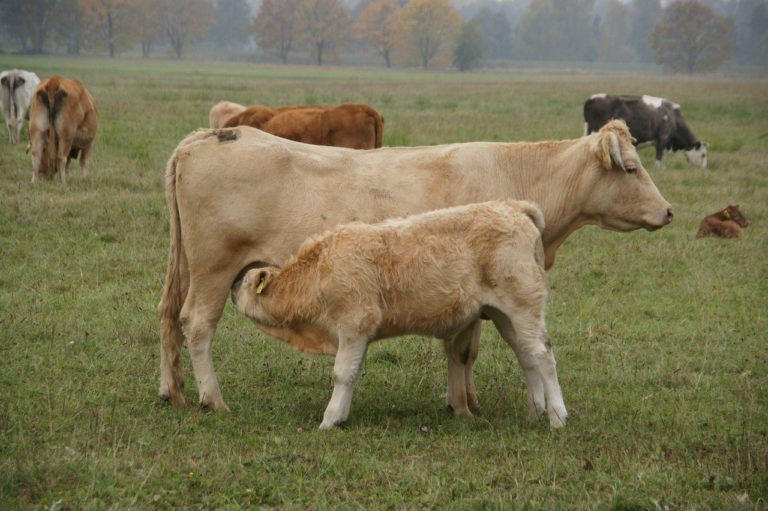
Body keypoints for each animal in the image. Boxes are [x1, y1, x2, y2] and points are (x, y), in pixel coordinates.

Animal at [230, 199, 568, 430]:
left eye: (246, 282)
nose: (232, 289)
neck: (320, 269)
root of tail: (513, 207)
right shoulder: (359, 335)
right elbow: (353, 373)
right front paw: (341, 416)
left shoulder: (354, 324)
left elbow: (342, 373)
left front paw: (328, 420)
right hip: (504, 315)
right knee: (527, 356)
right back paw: (535, 411)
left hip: (524, 306)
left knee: (543, 355)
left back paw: (557, 417)